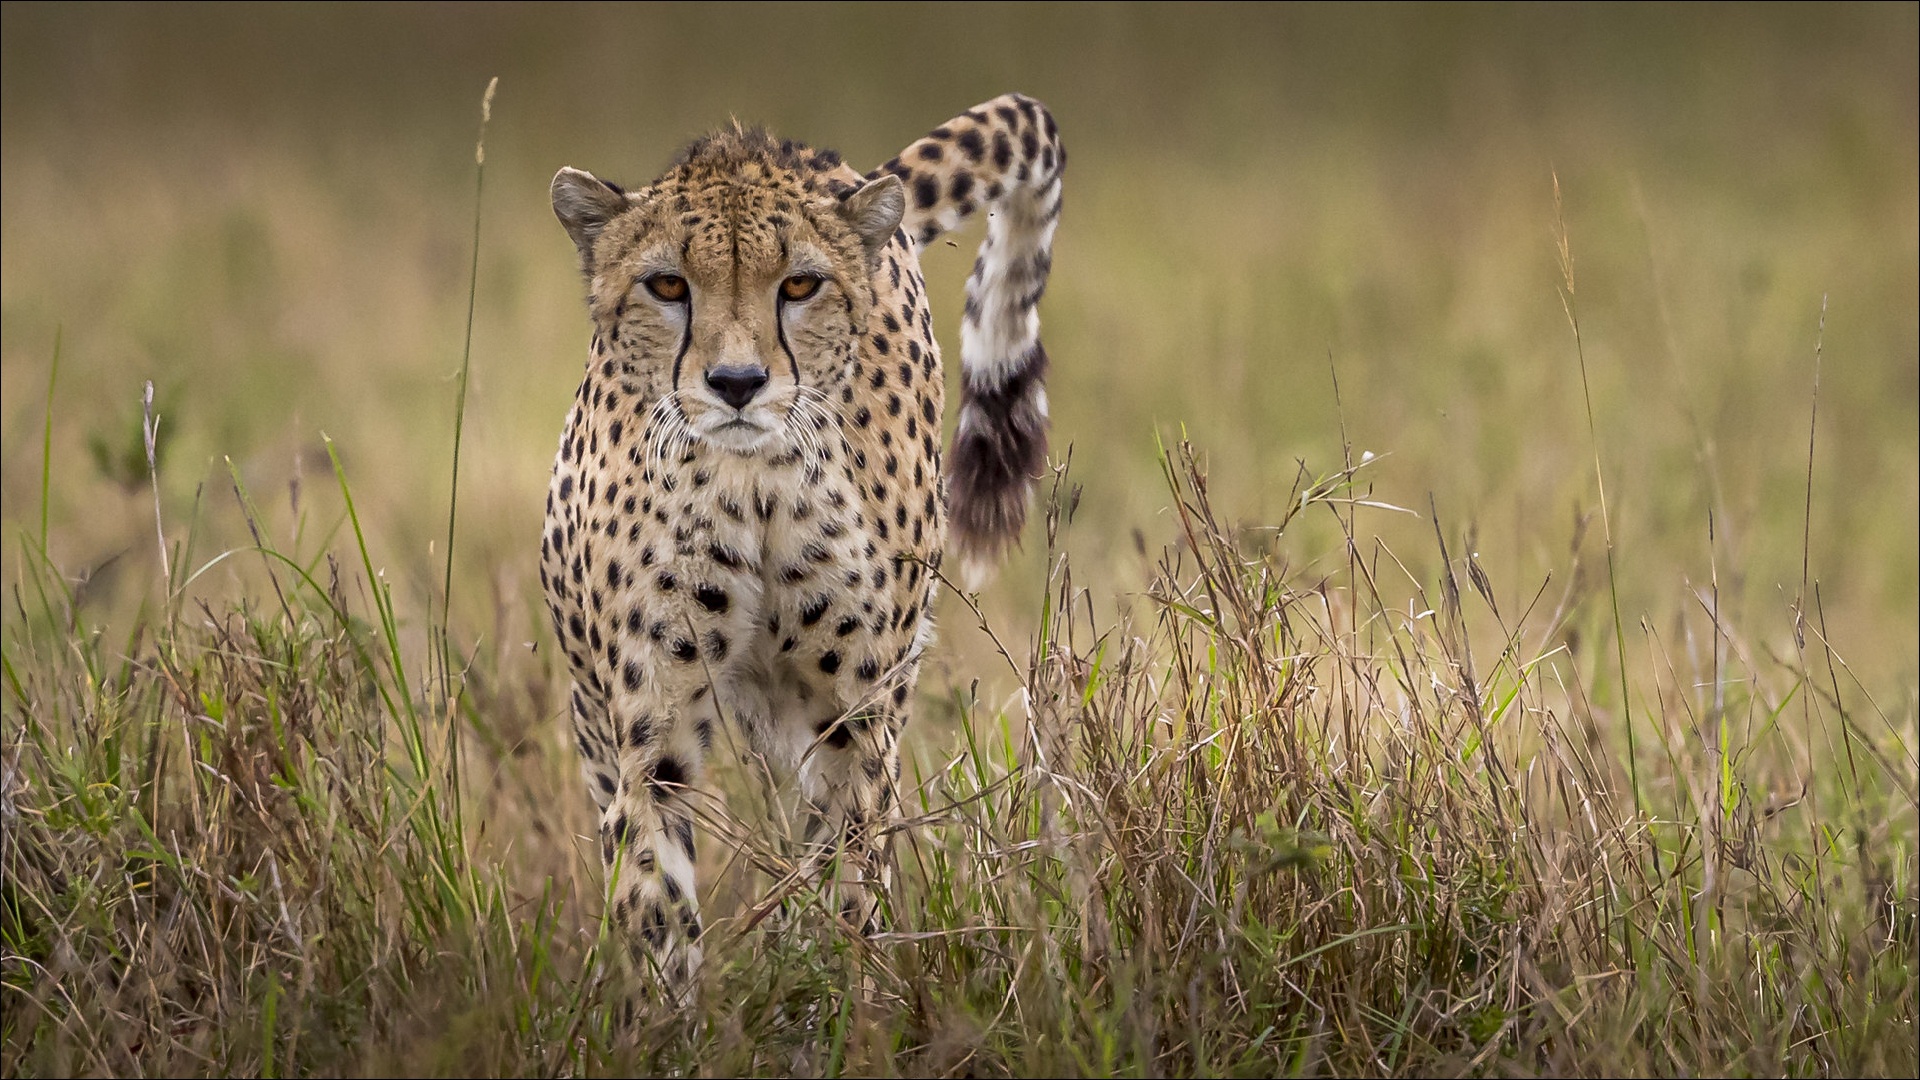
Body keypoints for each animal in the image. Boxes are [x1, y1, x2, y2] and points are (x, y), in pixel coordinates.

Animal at [540, 93, 1063, 1000]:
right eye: (667, 284)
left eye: (800, 286)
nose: (737, 384)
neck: (753, 483)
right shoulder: (651, 731)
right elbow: (655, 893)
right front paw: (672, 1015)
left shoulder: (852, 718)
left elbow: (849, 872)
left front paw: (846, 999)